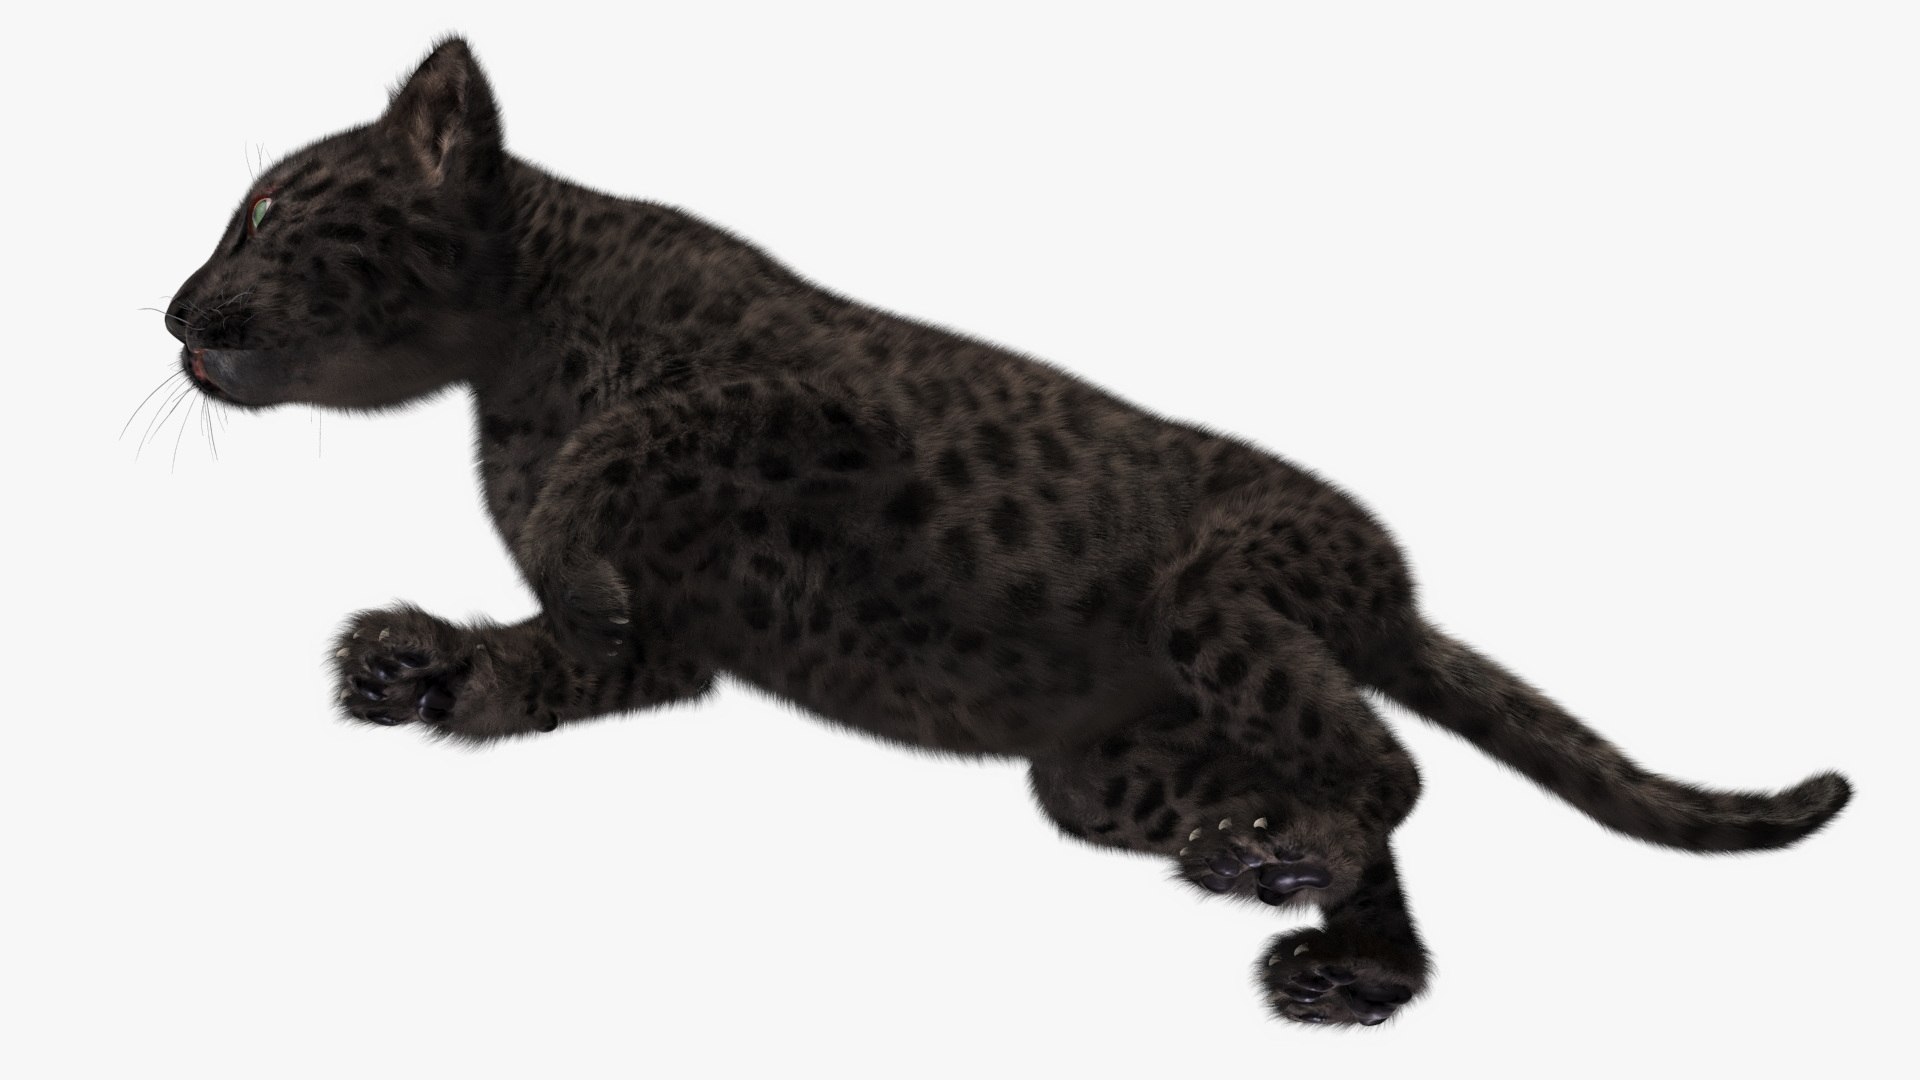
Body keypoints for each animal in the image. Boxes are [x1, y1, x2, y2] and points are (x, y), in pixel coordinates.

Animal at [163, 38, 1852, 1027]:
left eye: (270, 210)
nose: (173, 312)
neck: (508, 350)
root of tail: (1385, 584)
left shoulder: (814, 402)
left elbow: (627, 442)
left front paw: (559, 535)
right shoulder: (670, 647)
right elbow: (558, 657)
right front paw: (410, 666)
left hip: (1224, 593)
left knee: (1389, 768)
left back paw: (1295, 868)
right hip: (1100, 770)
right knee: (1323, 804)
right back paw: (1328, 940)